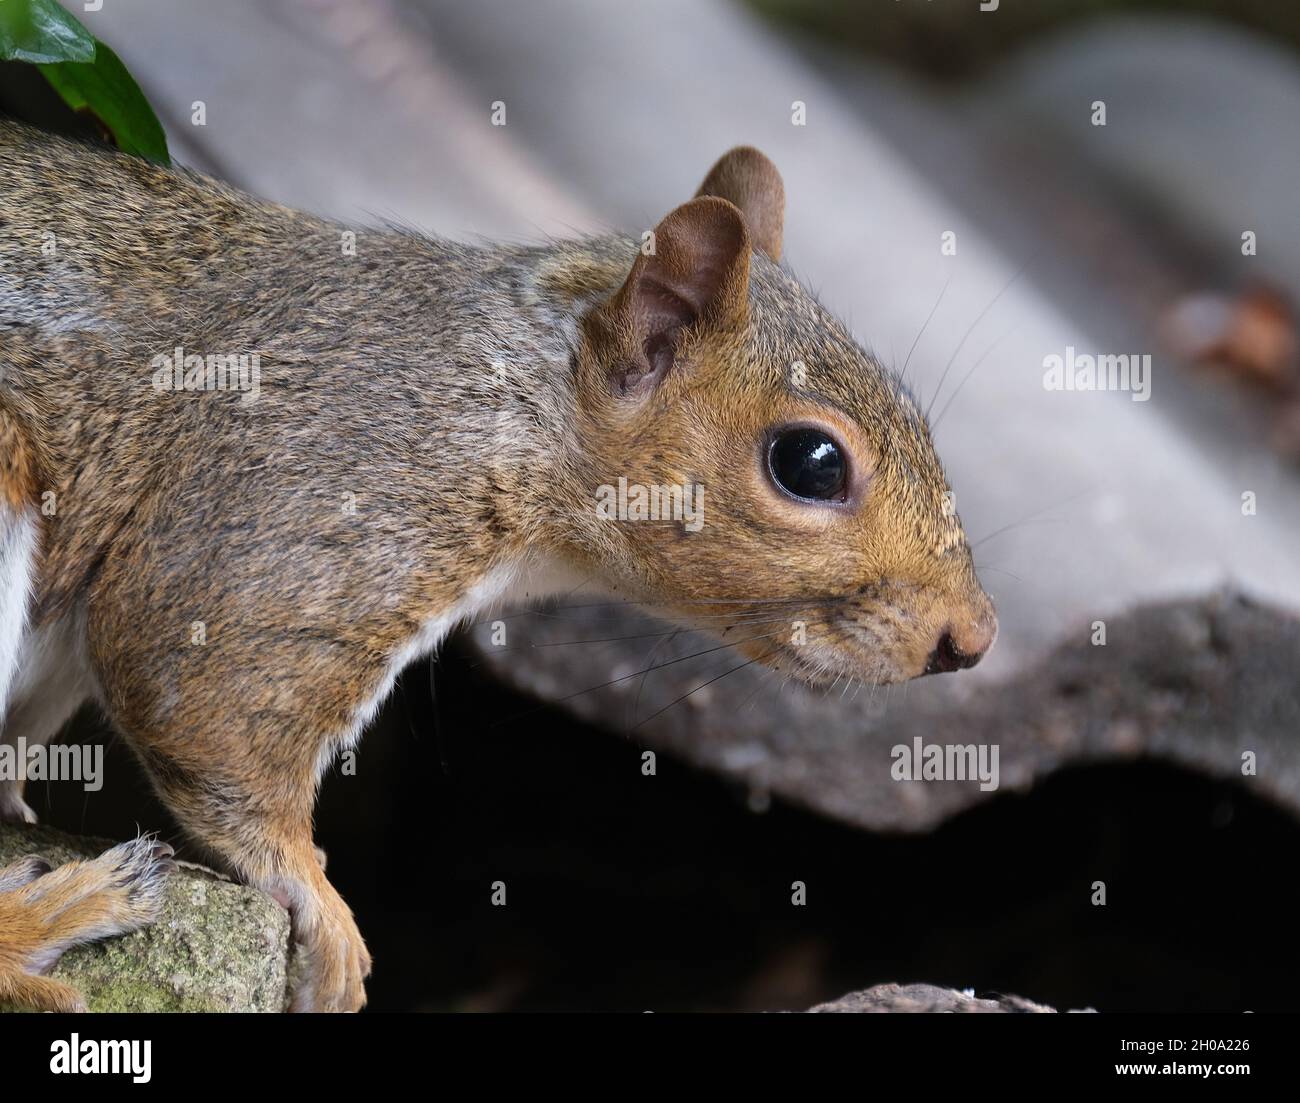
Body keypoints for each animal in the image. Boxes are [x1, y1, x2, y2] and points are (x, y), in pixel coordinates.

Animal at [0, 119, 996, 1012]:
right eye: (810, 463)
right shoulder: (315, 494)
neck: (512, 399)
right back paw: (51, 920)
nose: (973, 639)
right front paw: (322, 901)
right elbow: (198, 691)